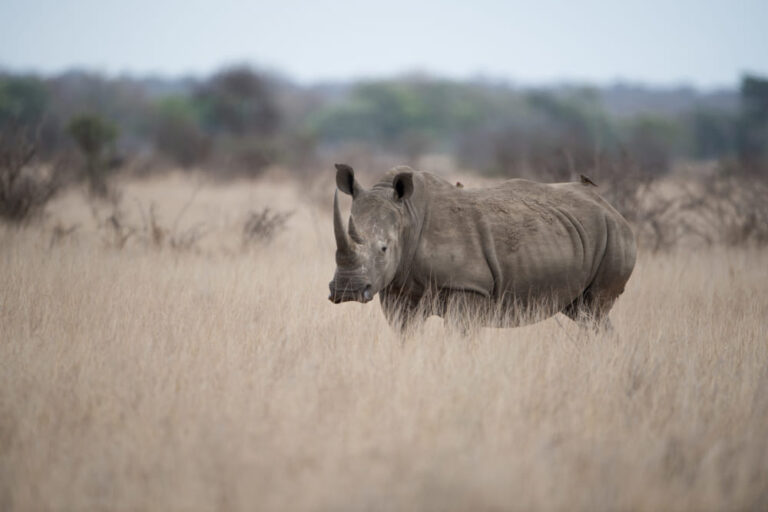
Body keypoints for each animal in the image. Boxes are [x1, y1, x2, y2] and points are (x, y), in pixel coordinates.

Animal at [328, 164, 636, 333]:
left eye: (383, 248)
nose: (346, 290)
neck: (408, 218)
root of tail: (612, 209)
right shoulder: (398, 289)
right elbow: (405, 334)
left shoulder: (468, 286)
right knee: (586, 314)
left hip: (616, 236)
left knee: (593, 310)